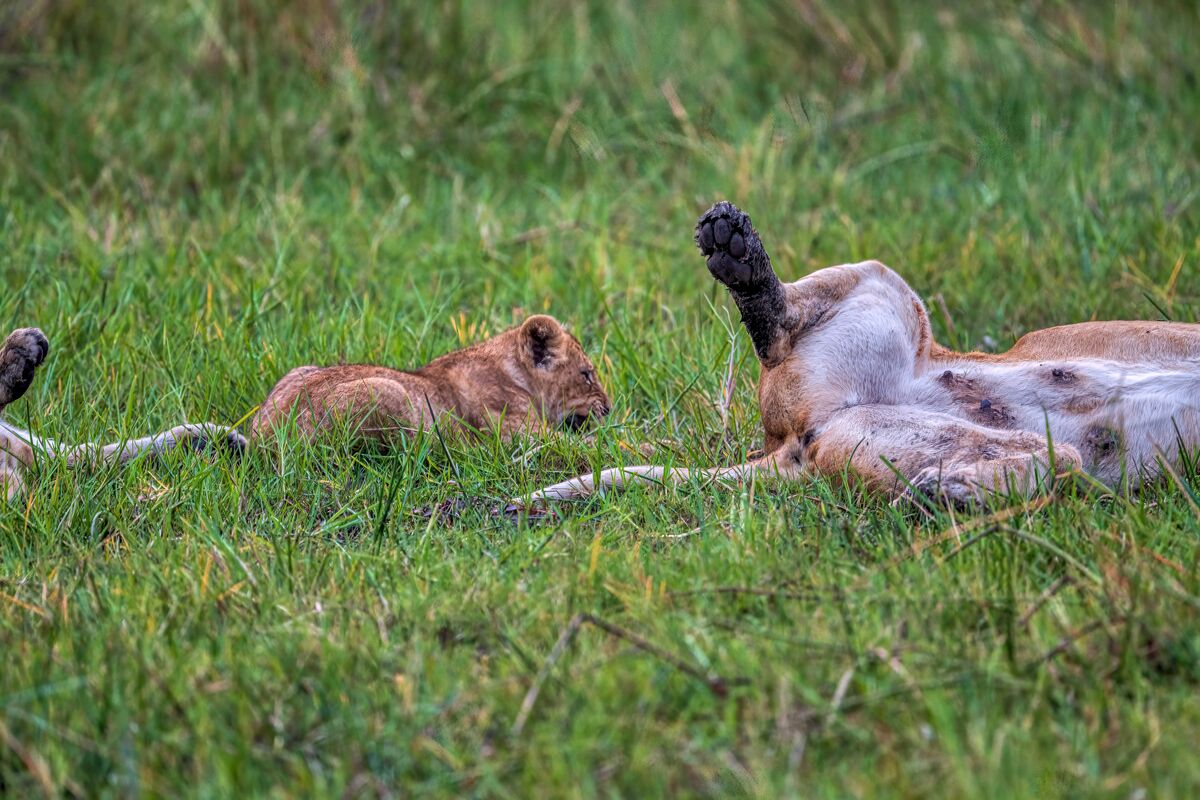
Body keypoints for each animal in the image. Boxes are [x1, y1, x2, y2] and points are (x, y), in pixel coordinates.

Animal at [250, 314, 611, 446]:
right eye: (586, 375)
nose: (609, 408)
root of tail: (263, 441)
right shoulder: (514, 431)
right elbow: (588, 445)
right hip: (387, 392)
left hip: (299, 370)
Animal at [527, 201, 1200, 508]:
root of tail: (786, 441)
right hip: (883, 286)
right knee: (778, 323)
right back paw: (737, 251)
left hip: (892, 429)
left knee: (1047, 464)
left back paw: (947, 493)